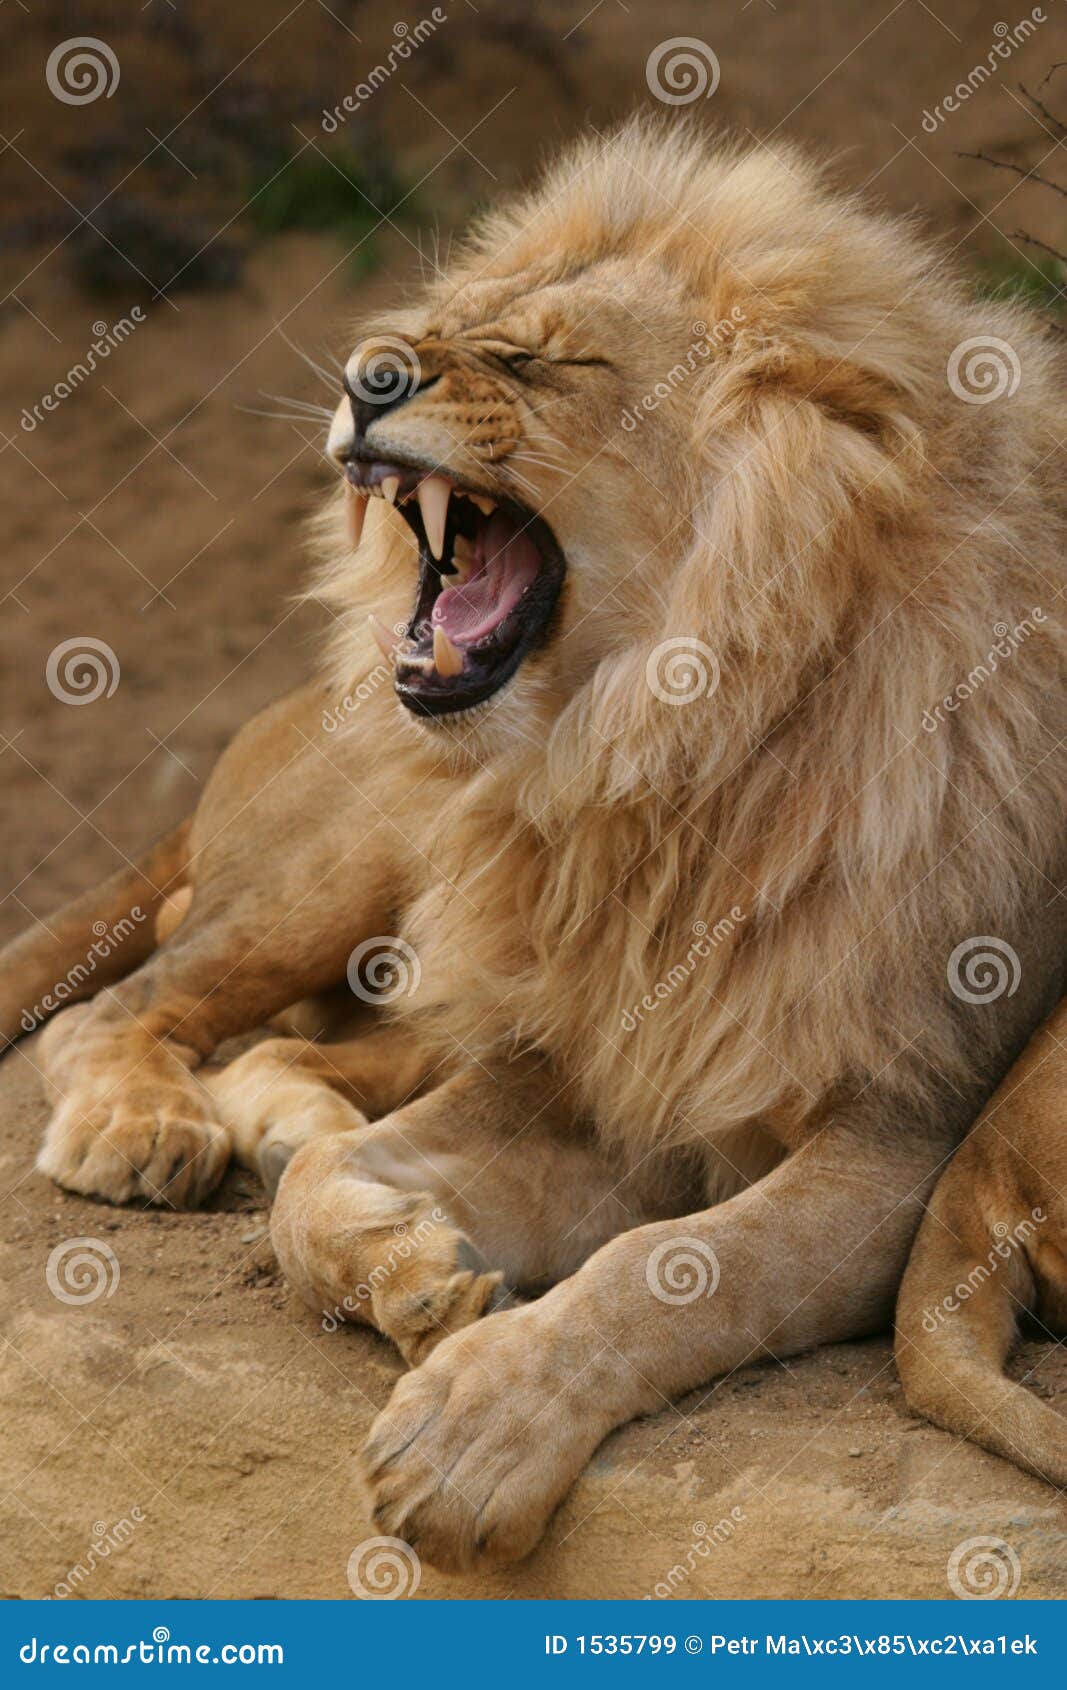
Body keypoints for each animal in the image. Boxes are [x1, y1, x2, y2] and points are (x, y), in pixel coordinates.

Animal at [2, 119, 1065, 1573]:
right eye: (438, 331)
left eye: (543, 361)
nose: (365, 374)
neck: (672, 756)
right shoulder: (591, 1068)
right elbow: (318, 1196)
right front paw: (411, 1267)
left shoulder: (904, 1135)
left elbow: (682, 1271)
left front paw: (473, 1431)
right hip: (344, 864)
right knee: (125, 999)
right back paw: (145, 1123)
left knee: (267, 1046)